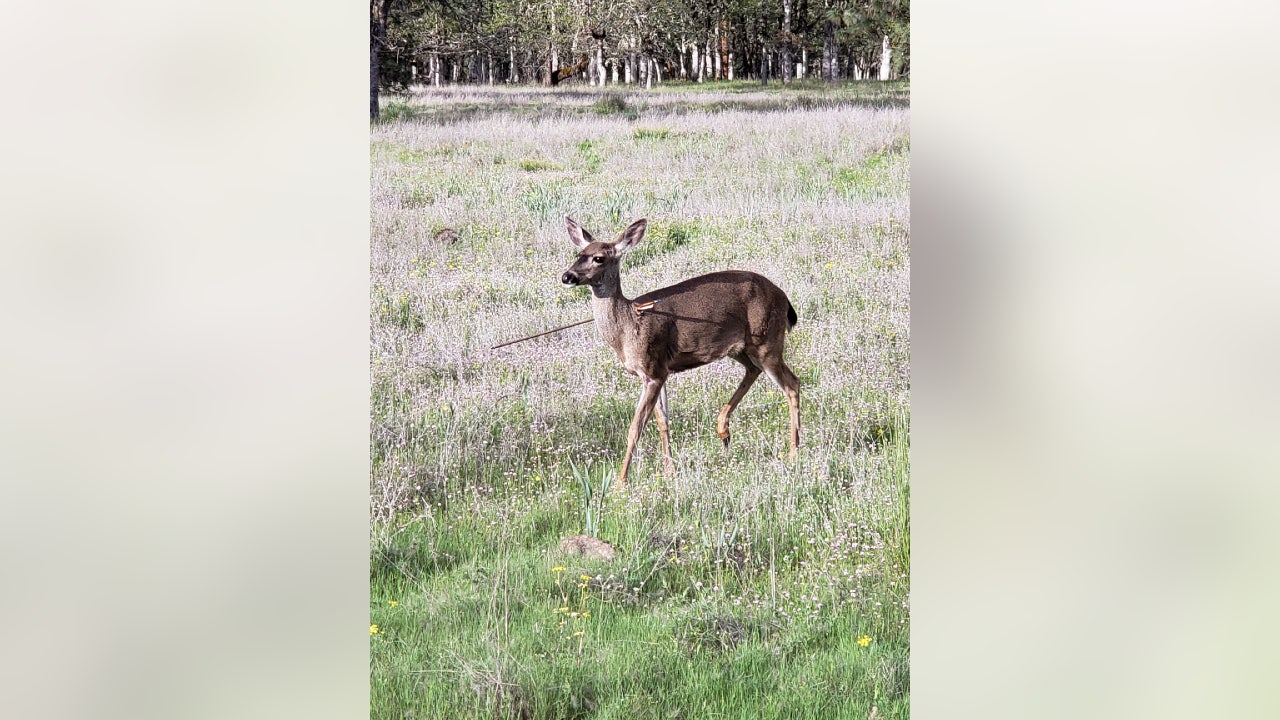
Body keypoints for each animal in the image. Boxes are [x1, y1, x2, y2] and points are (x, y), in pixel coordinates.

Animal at [560, 216, 801, 486]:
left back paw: (793, 451)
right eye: (578, 254)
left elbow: (635, 428)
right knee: (754, 371)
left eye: (599, 258)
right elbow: (662, 421)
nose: (567, 276)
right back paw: (723, 430)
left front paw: (620, 482)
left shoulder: (652, 369)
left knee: (792, 384)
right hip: (741, 348)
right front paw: (669, 471)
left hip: (767, 340)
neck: (628, 326)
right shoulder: (659, 370)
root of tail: (784, 297)